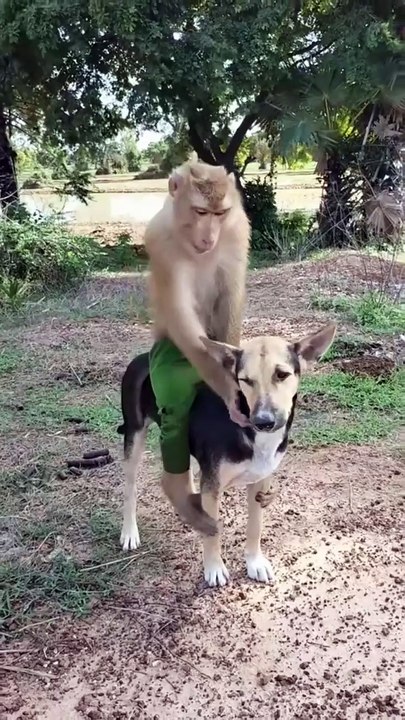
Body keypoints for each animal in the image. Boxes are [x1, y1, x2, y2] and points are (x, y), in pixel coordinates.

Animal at [140, 159, 250, 536]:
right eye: (201, 211)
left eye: (221, 213)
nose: (210, 236)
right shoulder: (159, 241)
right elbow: (181, 314)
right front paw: (229, 391)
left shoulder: (237, 231)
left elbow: (230, 294)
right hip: (165, 355)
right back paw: (178, 490)